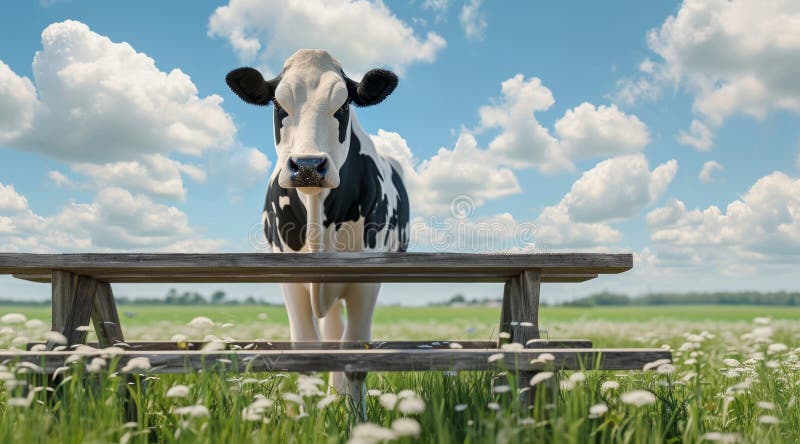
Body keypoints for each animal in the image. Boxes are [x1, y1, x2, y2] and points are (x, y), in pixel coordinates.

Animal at [225, 49, 409, 410]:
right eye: (279, 105)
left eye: (343, 105)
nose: (308, 165)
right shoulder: (290, 280)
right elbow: (307, 351)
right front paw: (304, 415)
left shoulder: (367, 280)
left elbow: (355, 355)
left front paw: (355, 416)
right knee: (332, 334)